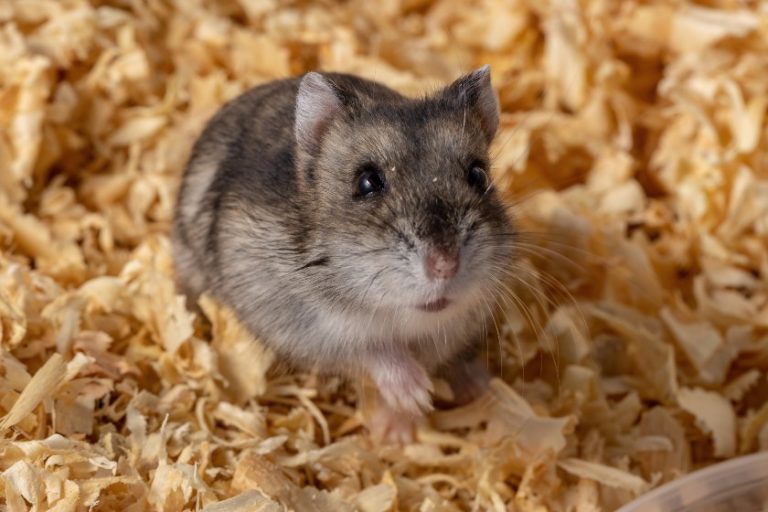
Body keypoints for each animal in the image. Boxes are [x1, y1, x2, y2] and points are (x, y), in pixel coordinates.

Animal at [172, 66, 515, 441]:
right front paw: (412, 405)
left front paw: (483, 388)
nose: (444, 265)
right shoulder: (307, 327)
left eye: (478, 175)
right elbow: (371, 349)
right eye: (367, 182)